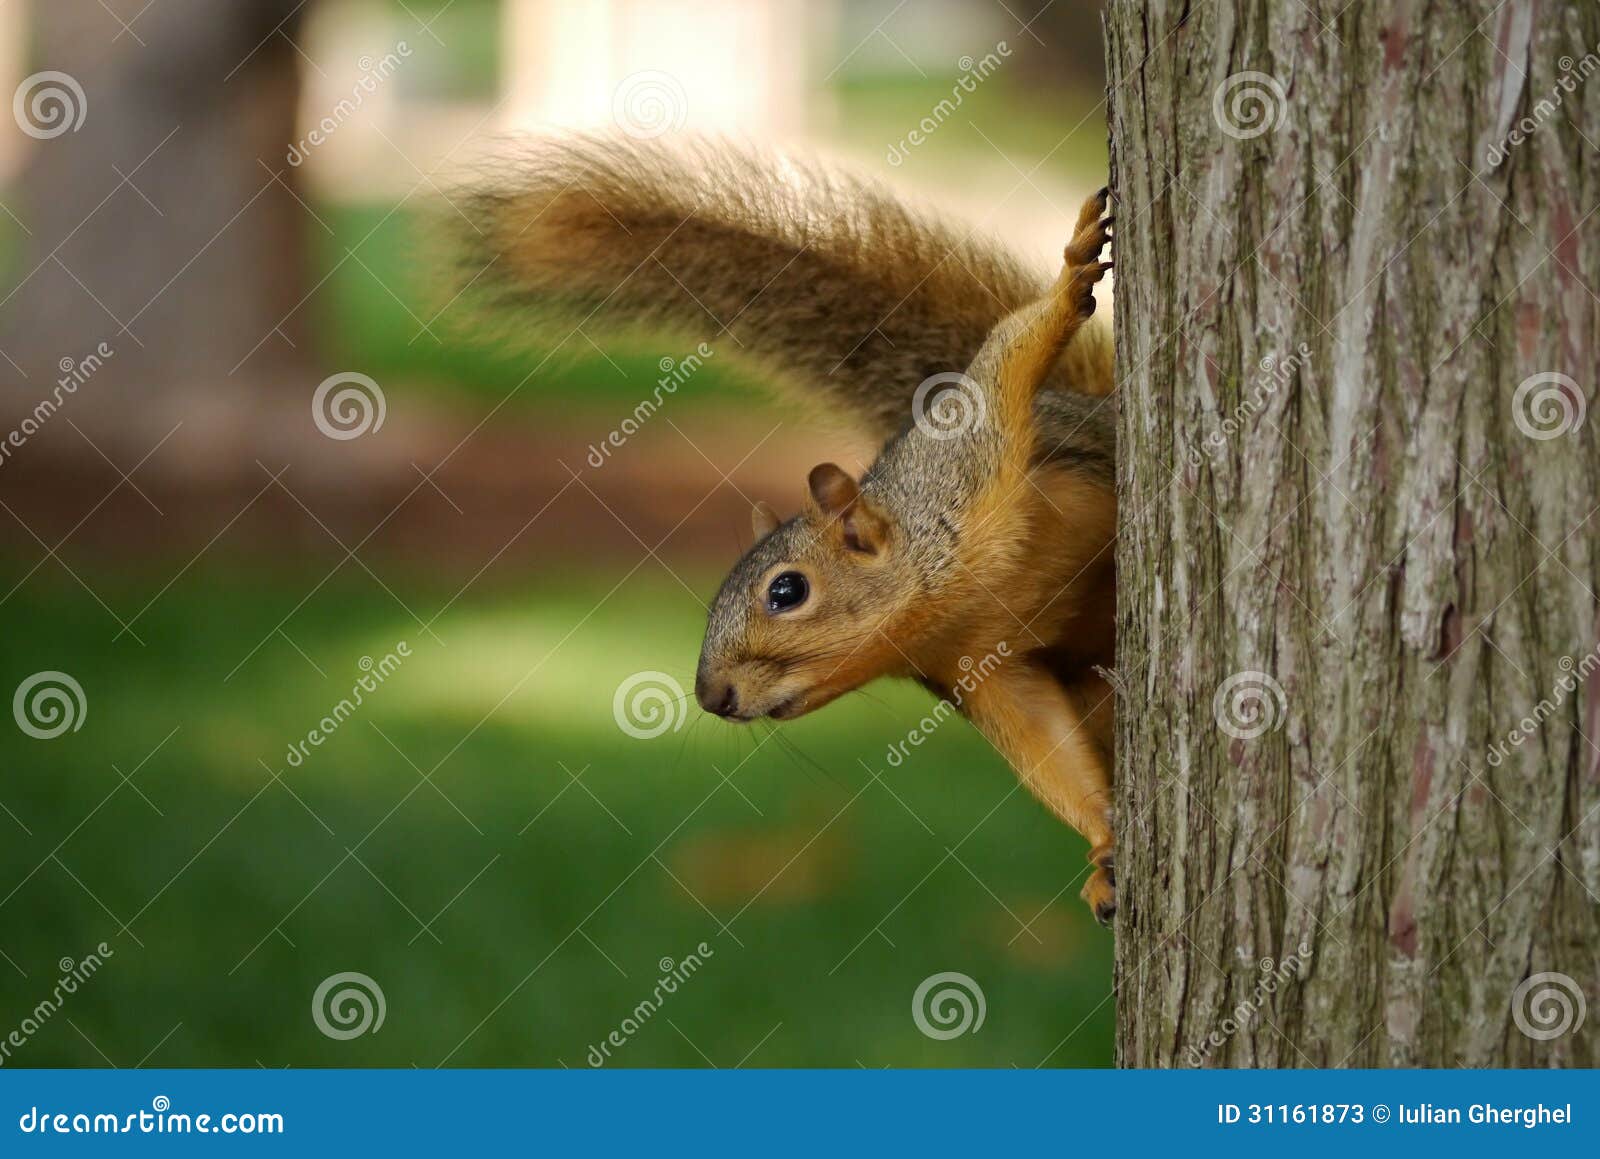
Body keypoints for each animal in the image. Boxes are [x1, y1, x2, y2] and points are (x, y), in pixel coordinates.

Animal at [454, 135, 1118, 922]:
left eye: (786, 592)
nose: (712, 696)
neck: (951, 598)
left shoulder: (963, 464)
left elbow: (1010, 353)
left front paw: (1074, 271)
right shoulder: (982, 667)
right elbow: (1046, 751)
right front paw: (1105, 843)